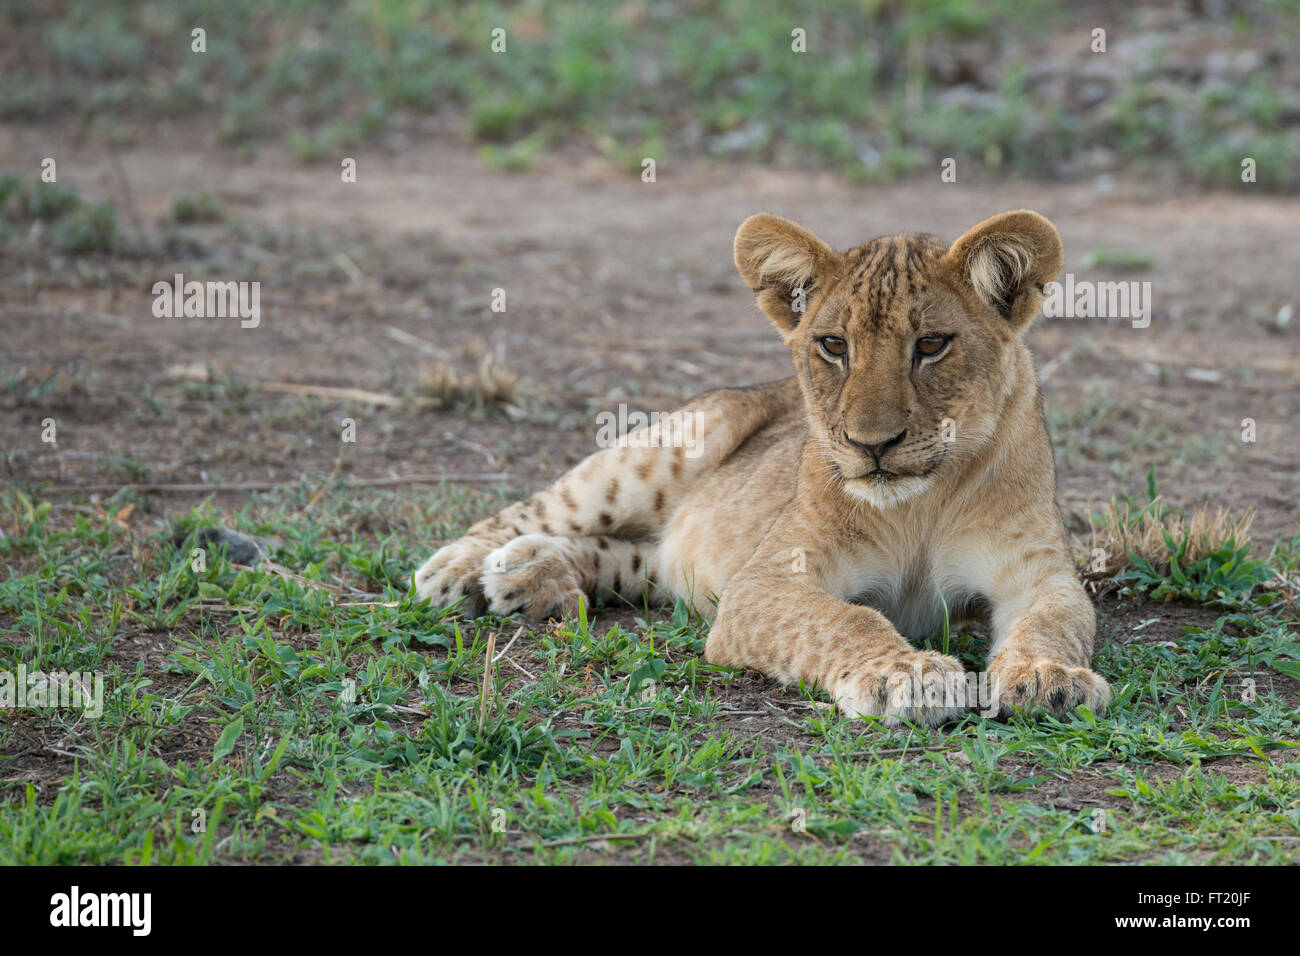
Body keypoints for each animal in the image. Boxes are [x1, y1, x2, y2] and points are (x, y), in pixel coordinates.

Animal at [414, 210, 1110, 725]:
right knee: (538, 509)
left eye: (932, 345)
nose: (872, 444)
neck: (922, 501)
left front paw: (1050, 677)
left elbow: (1055, 621)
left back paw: (530, 573)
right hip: (665, 450)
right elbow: (844, 618)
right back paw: (461, 571)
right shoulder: (766, 581)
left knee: (633, 559)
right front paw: (906, 673)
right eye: (834, 345)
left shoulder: (1039, 573)